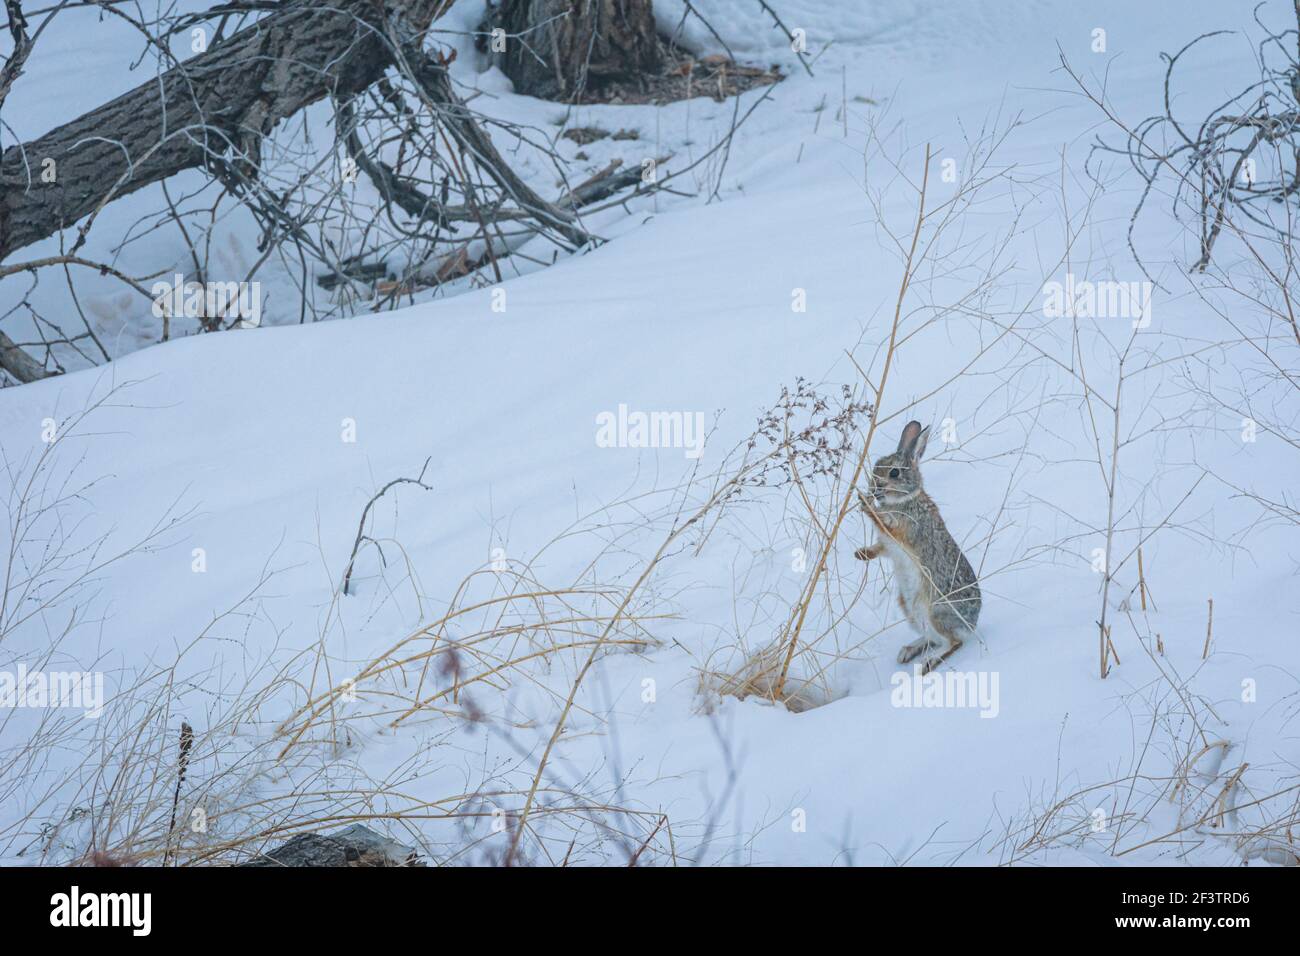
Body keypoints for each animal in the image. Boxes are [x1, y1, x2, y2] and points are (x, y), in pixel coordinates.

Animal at [853, 421, 981, 672]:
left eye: (894, 472)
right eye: (876, 467)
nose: (874, 488)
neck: (905, 500)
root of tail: (971, 625)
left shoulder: (901, 530)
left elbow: (881, 520)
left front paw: (864, 502)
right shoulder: (888, 546)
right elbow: (878, 549)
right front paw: (860, 554)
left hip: (935, 611)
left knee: (952, 642)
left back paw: (926, 665)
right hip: (908, 608)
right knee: (932, 638)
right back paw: (907, 652)